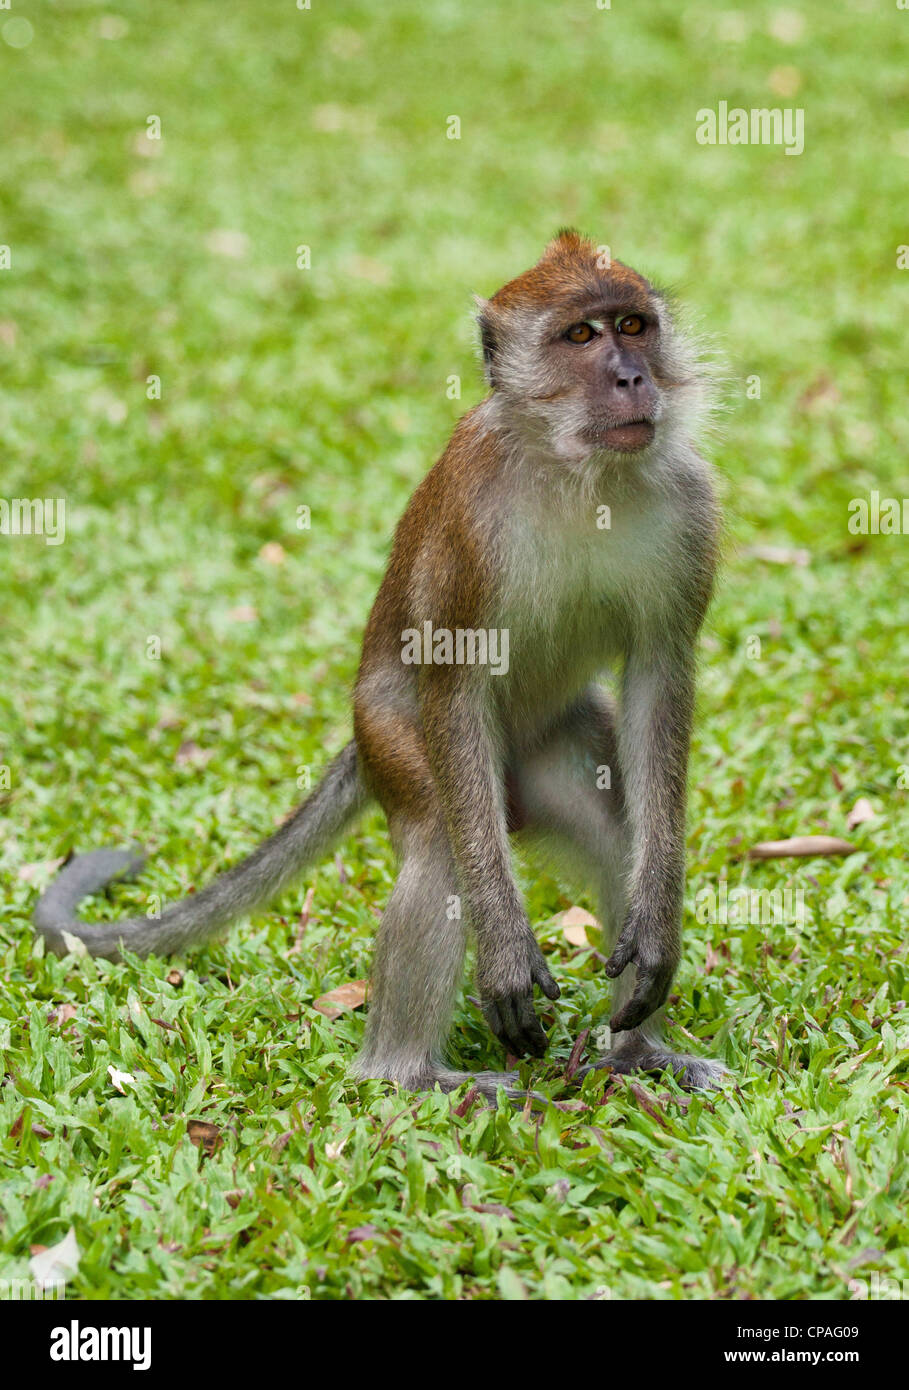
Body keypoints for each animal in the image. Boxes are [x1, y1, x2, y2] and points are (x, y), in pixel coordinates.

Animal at [33, 230, 726, 1100]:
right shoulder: (470, 524)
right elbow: (453, 684)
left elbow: (657, 681)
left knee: (605, 822)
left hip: (544, 753)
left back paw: (636, 1051)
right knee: (438, 842)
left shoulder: (690, 505)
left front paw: (657, 932)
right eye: (579, 337)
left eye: (633, 325)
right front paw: (505, 950)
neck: (578, 471)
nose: (633, 377)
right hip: (394, 739)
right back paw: (407, 1073)